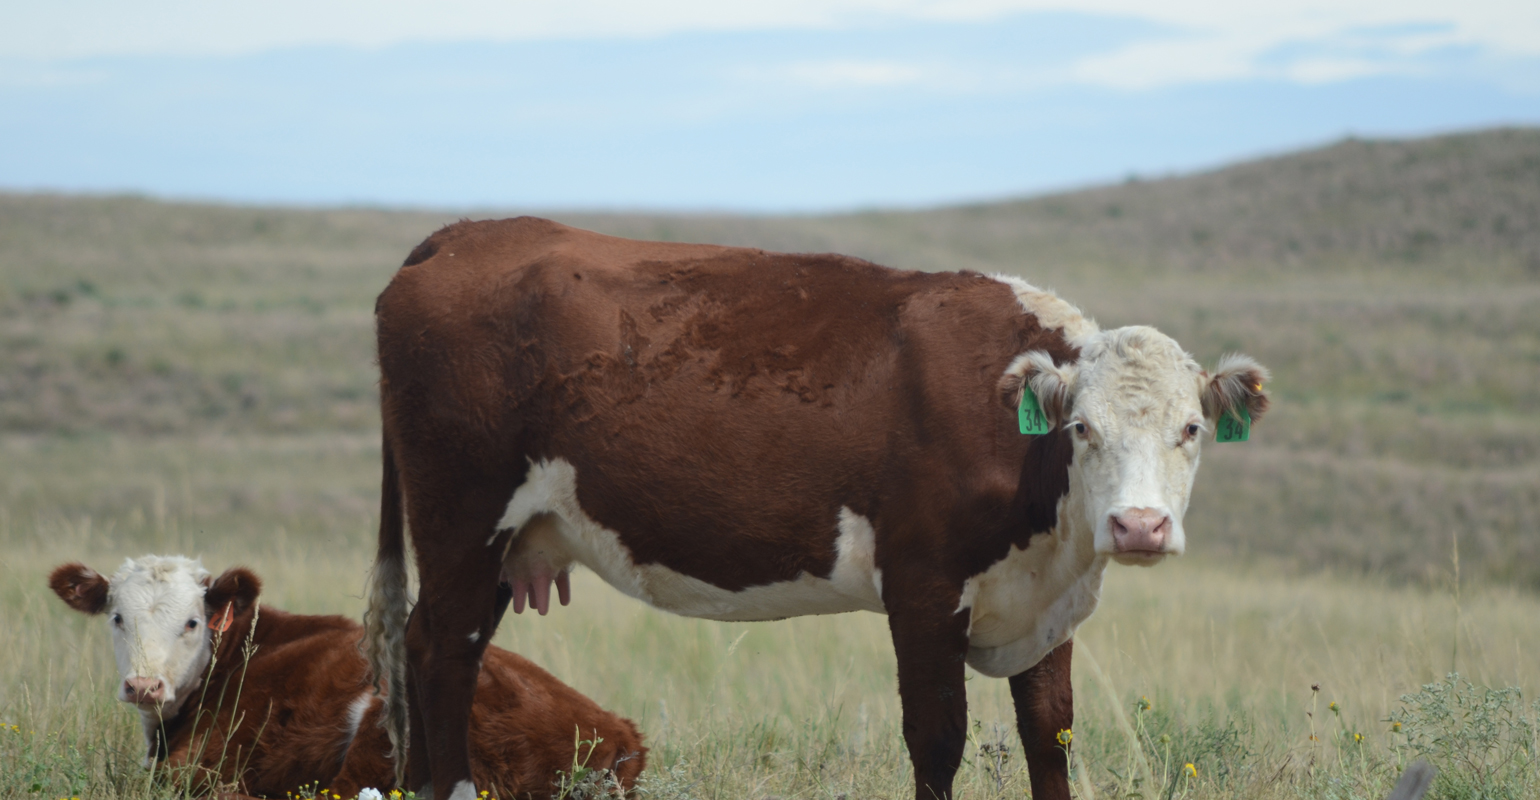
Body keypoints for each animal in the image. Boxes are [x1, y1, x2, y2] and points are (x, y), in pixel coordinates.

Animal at [363, 217, 1269, 800]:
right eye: (1083, 428)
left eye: (1190, 429)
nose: (1139, 527)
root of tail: (467, 232)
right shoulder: (923, 589)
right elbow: (936, 740)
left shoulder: (1045, 604)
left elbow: (1051, 736)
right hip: (462, 518)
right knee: (443, 651)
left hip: (500, 542)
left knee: (430, 645)